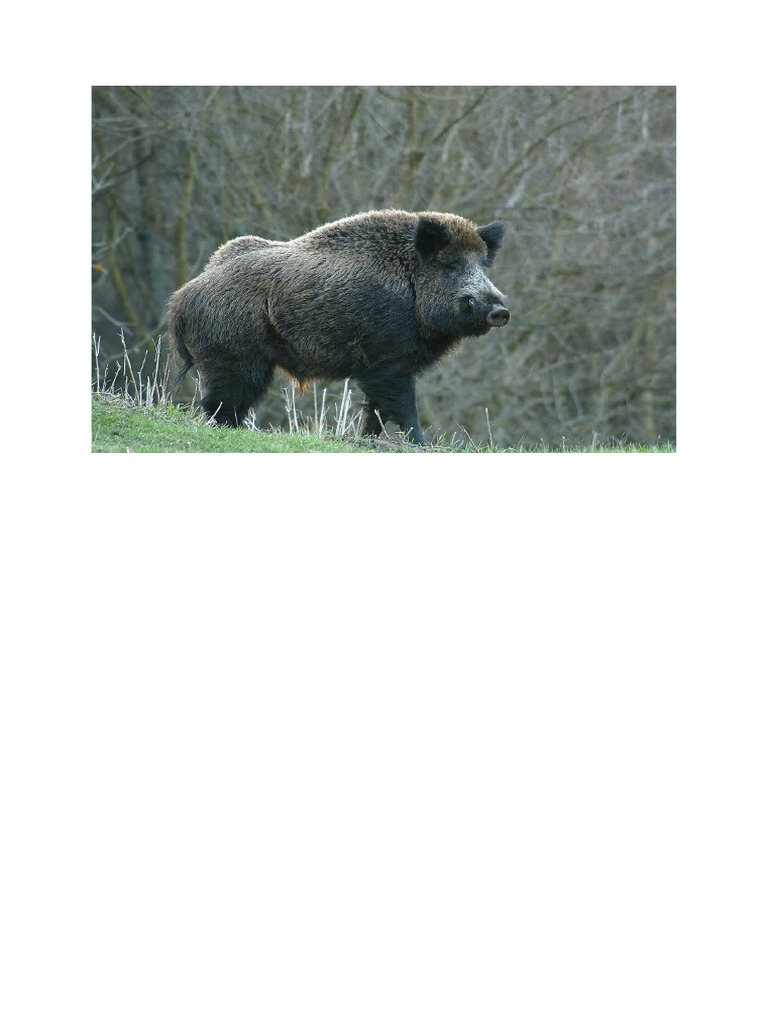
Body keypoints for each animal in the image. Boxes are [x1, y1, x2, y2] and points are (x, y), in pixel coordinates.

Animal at [168, 209, 509, 445]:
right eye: (451, 265)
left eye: (481, 265)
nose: (501, 311)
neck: (410, 286)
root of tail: (182, 297)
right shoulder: (387, 362)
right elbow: (401, 406)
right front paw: (420, 444)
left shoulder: (385, 368)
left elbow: (376, 411)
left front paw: (368, 442)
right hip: (233, 358)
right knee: (219, 403)